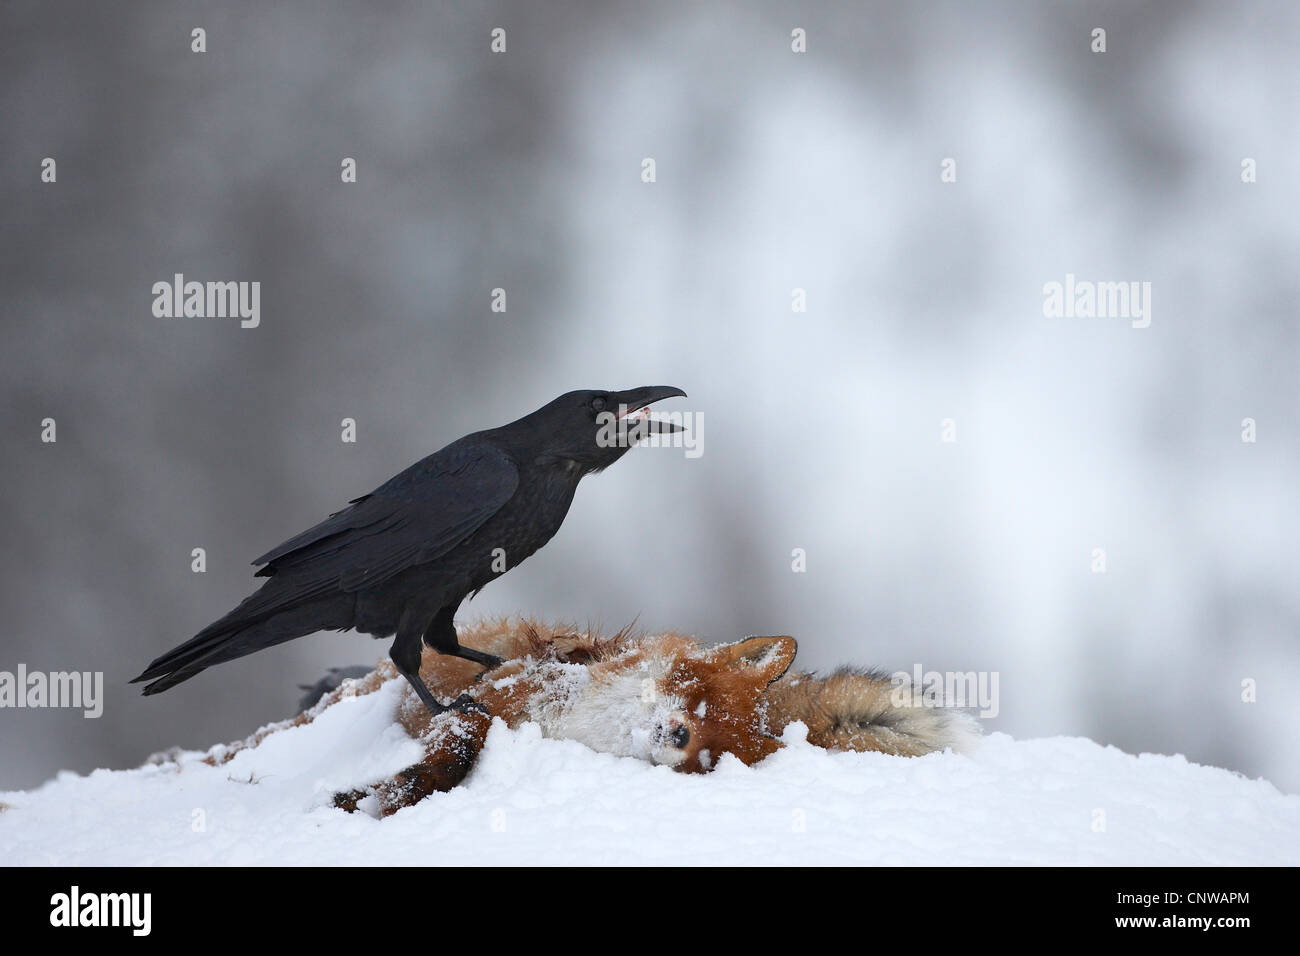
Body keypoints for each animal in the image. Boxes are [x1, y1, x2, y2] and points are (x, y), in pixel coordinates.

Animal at [209, 618, 979, 815]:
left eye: (709, 758)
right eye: (700, 707)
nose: (676, 734)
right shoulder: (496, 697)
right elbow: (458, 747)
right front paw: (382, 796)